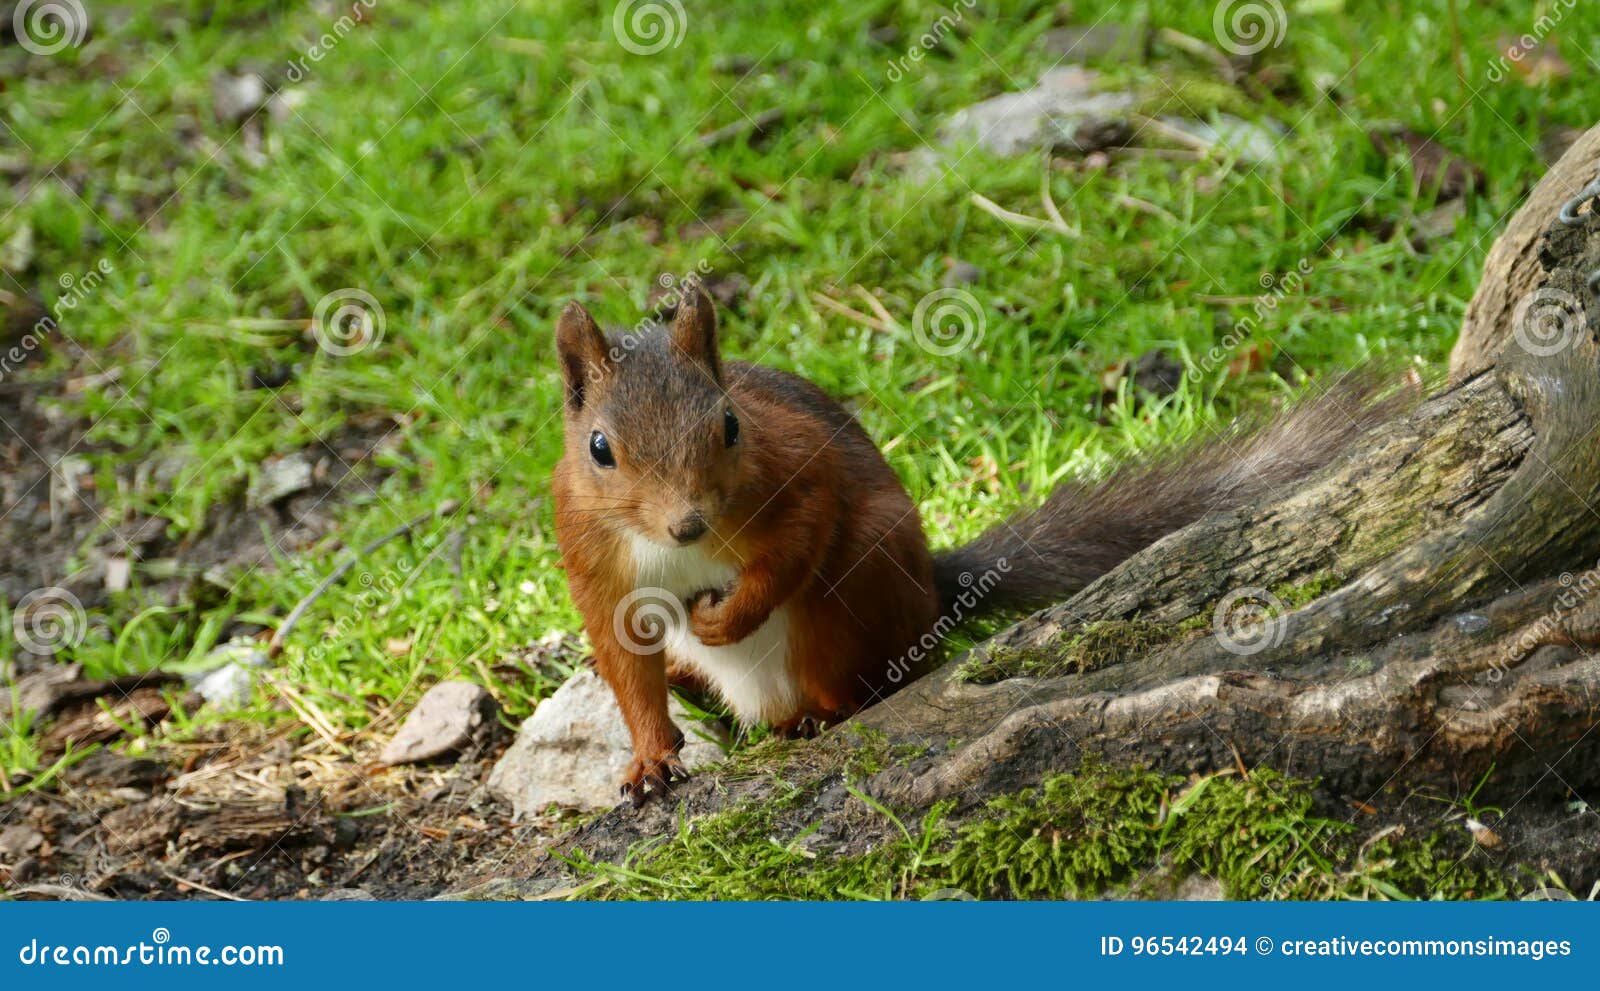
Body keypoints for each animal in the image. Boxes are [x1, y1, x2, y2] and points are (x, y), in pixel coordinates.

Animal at [552, 282, 1394, 803]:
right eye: (599, 448)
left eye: (729, 425)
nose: (689, 523)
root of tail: (932, 592)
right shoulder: (594, 558)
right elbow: (624, 658)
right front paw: (650, 758)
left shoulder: (797, 472)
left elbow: (799, 538)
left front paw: (725, 615)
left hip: (860, 579)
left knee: (850, 661)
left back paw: (818, 714)